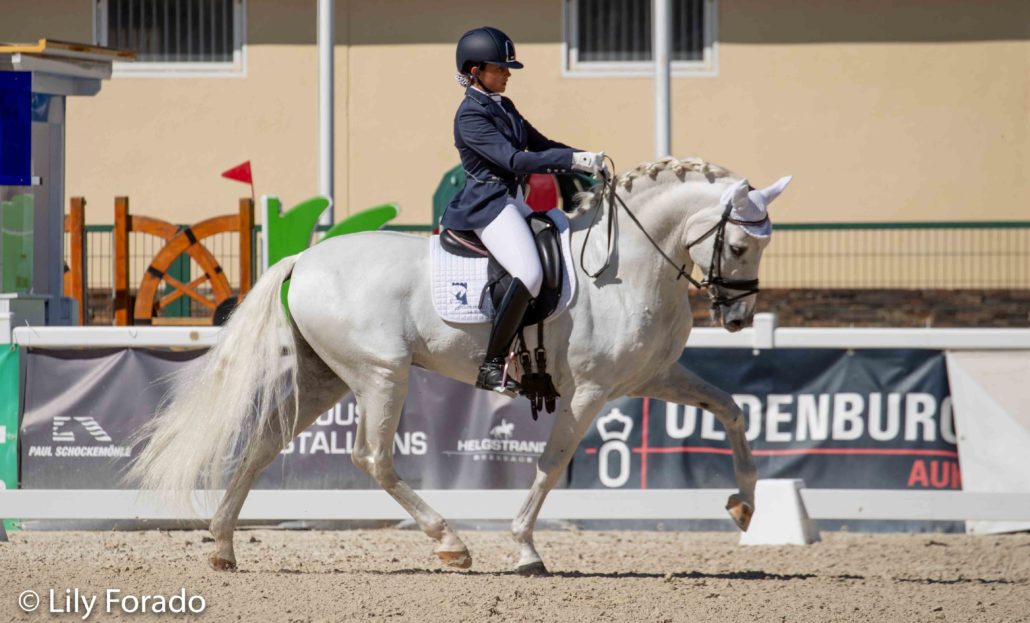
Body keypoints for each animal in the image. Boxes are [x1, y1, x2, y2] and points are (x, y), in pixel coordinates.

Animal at [129, 156, 792, 575]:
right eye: (738, 245)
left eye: (762, 246)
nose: (737, 317)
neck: (625, 267)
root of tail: (304, 260)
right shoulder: (589, 391)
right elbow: (551, 465)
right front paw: (525, 550)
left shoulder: (652, 377)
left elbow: (731, 410)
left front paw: (745, 505)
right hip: (381, 376)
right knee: (373, 458)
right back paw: (450, 544)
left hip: (325, 379)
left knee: (265, 442)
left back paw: (222, 547)